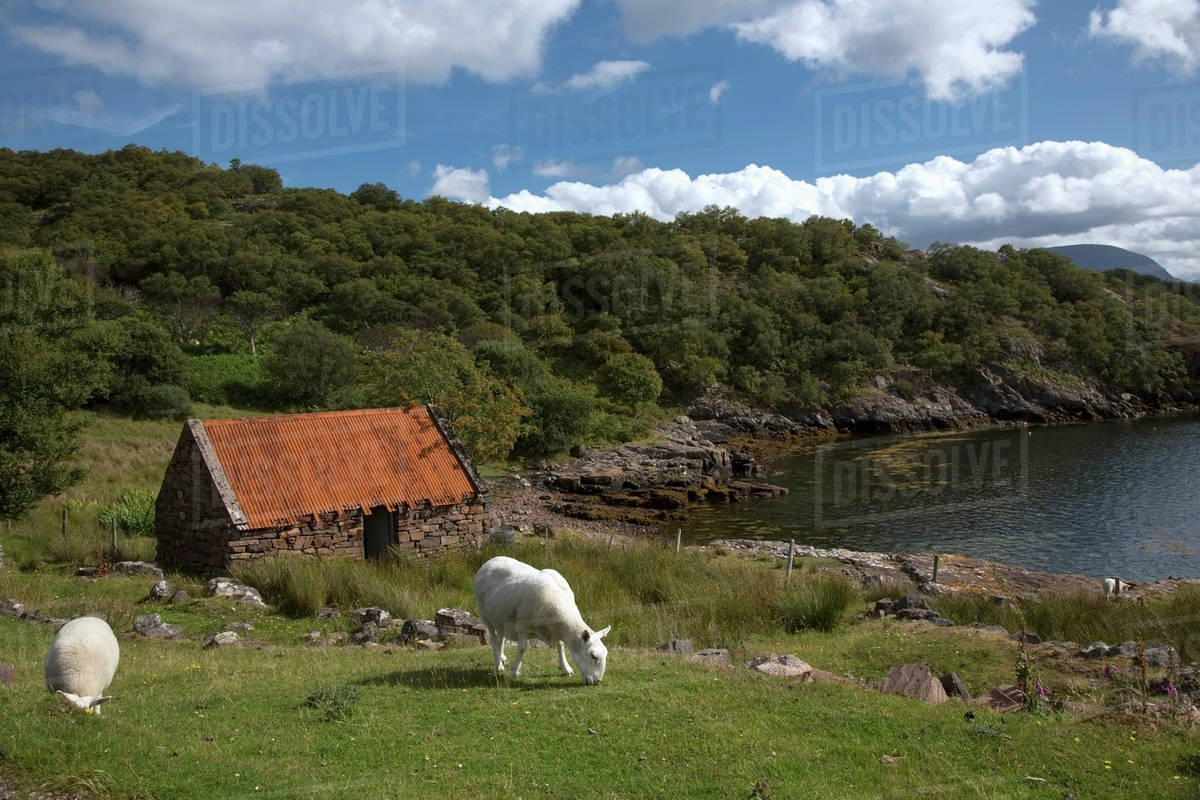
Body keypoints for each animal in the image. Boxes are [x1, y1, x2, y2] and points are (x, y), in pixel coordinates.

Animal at [473, 556, 611, 685]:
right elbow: (522, 647)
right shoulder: (522, 626)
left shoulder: (556, 628)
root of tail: (491, 560)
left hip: (500, 616)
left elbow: (560, 645)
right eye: (593, 656)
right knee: (492, 638)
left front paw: (566, 668)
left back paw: (502, 657)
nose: (598, 682)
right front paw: (515, 671)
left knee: (501, 636)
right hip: (485, 615)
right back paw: (498, 664)